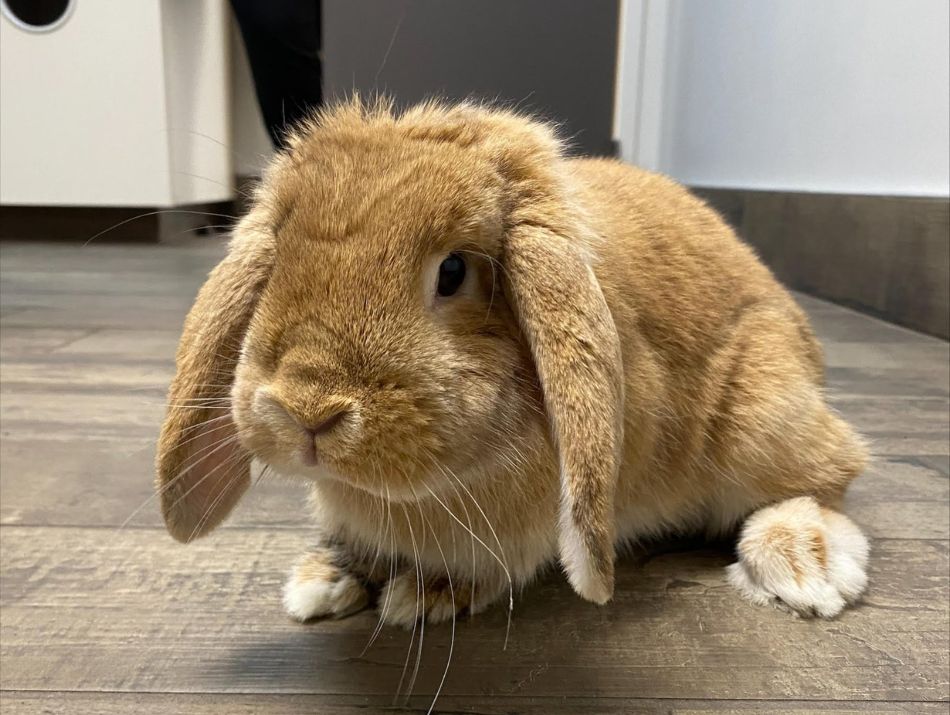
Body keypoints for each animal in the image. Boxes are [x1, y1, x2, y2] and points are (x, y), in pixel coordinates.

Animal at [156, 98, 870, 626]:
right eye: (278, 255)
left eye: (452, 272)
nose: (306, 411)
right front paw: (326, 579)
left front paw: (424, 594)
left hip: (760, 411)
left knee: (828, 477)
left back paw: (804, 566)